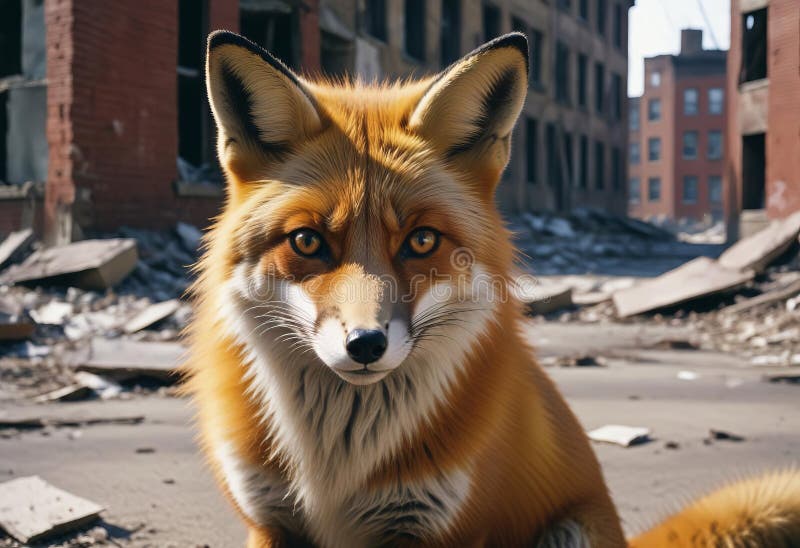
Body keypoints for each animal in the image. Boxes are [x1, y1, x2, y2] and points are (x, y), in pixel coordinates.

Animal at [184, 29, 800, 547]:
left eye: (422, 240)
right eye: (308, 242)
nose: (365, 345)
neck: (335, 465)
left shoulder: (439, 527)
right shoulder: (270, 522)